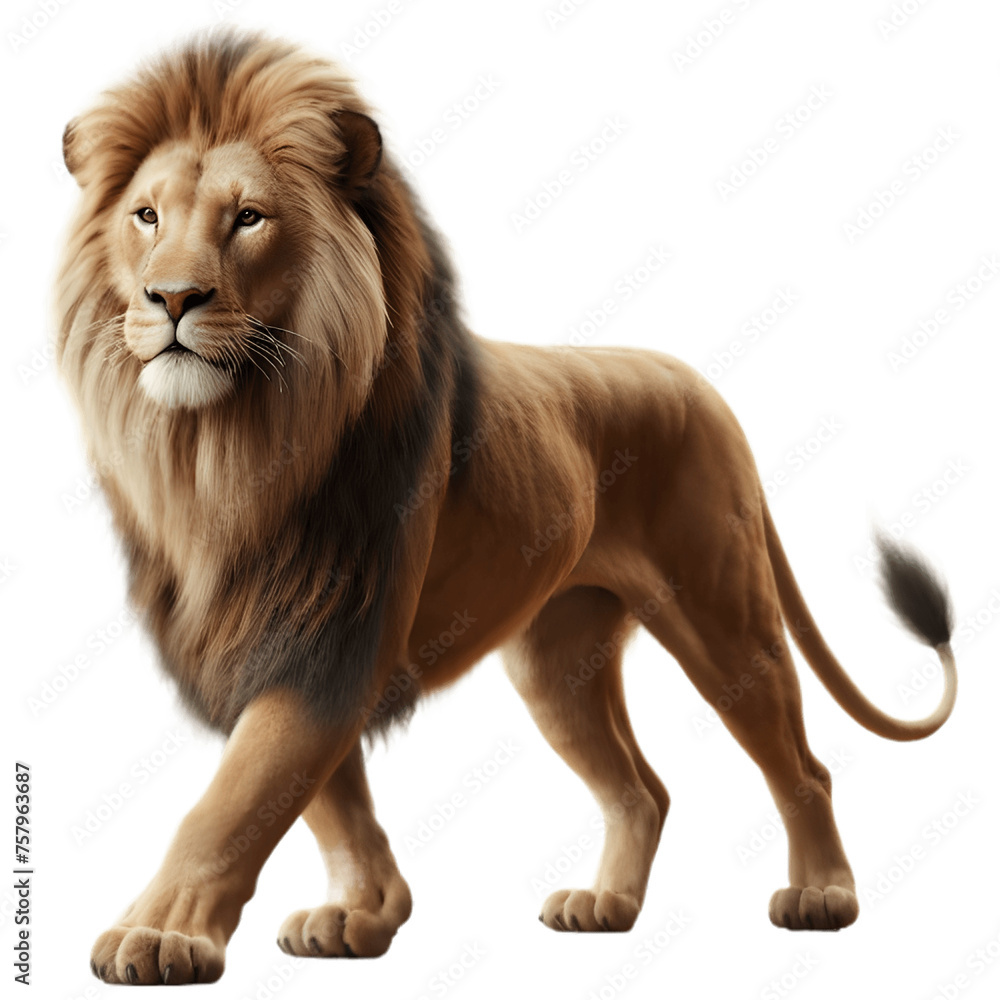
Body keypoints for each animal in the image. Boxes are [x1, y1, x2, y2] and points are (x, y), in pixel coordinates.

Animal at [57, 31, 957, 986]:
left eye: (249, 218)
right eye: (147, 217)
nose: (171, 299)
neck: (222, 453)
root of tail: (698, 381)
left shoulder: (336, 626)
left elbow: (237, 797)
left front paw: (161, 935)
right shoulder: (279, 636)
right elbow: (328, 798)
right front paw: (365, 912)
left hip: (724, 615)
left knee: (804, 768)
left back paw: (823, 895)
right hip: (557, 661)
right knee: (643, 789)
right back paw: (606, 907)